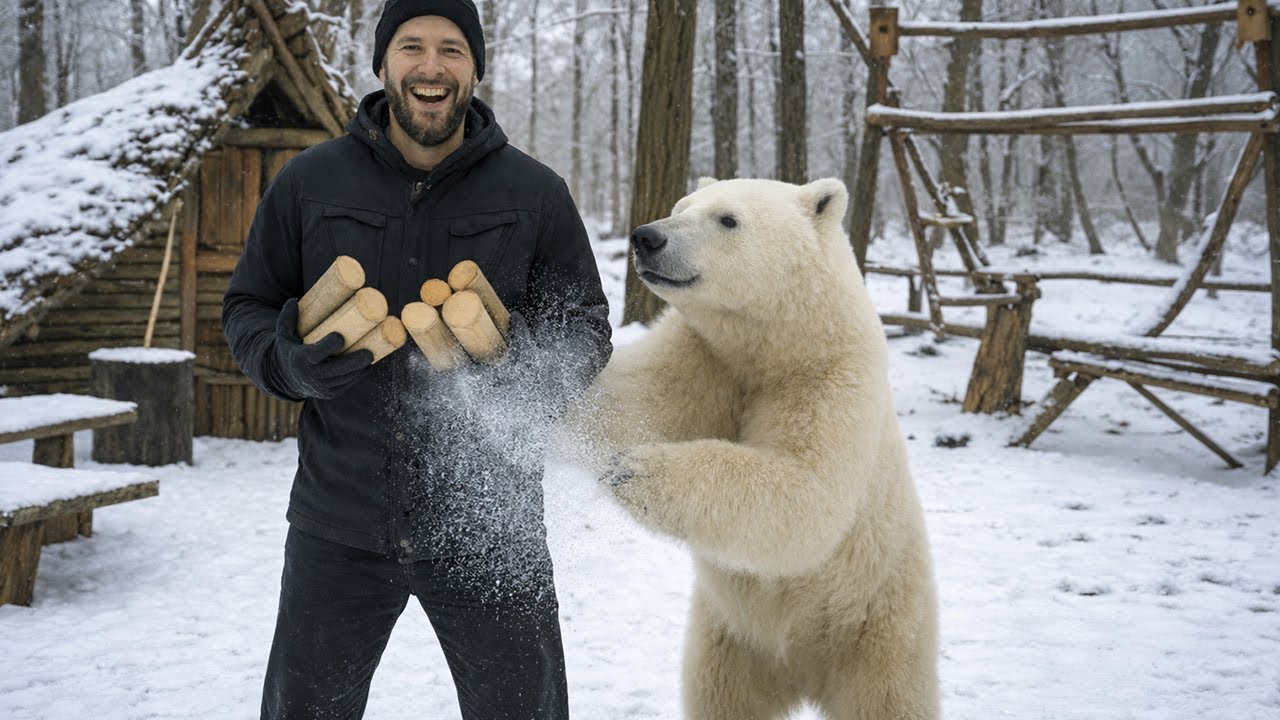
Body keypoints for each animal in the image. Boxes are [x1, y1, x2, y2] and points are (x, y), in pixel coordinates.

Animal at [565, 177, 939, 719]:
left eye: (727, 219)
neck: (776, 343)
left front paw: (635, 470)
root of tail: (802, 675)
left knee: (889, 700)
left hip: (878, 626)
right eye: (681, 206)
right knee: (721, 699)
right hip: (727, 640)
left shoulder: (833, 379)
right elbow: (633, 401)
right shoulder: (705, 354)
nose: (647, 237)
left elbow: (805, 493)